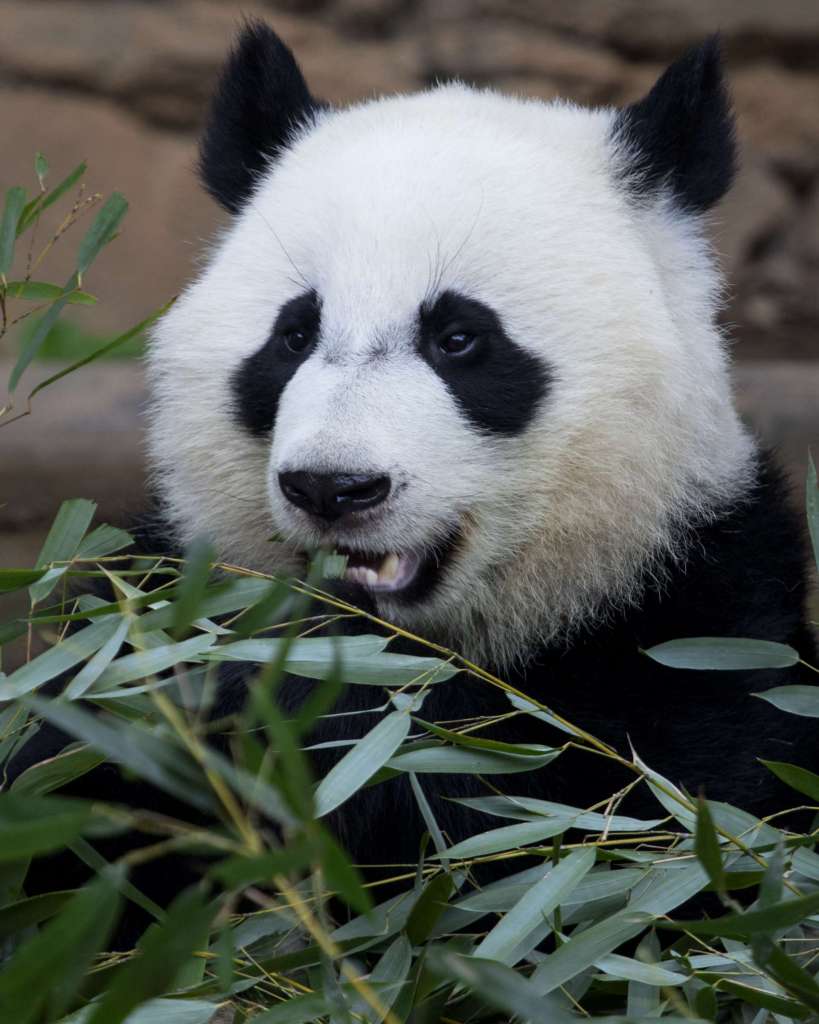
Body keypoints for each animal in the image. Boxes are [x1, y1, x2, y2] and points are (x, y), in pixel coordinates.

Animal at [14, 22, 818, 935]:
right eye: (294, 335)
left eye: (459, 339)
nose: (332, 488)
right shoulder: (150, 620)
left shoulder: (695, 625)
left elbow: (634, 832)